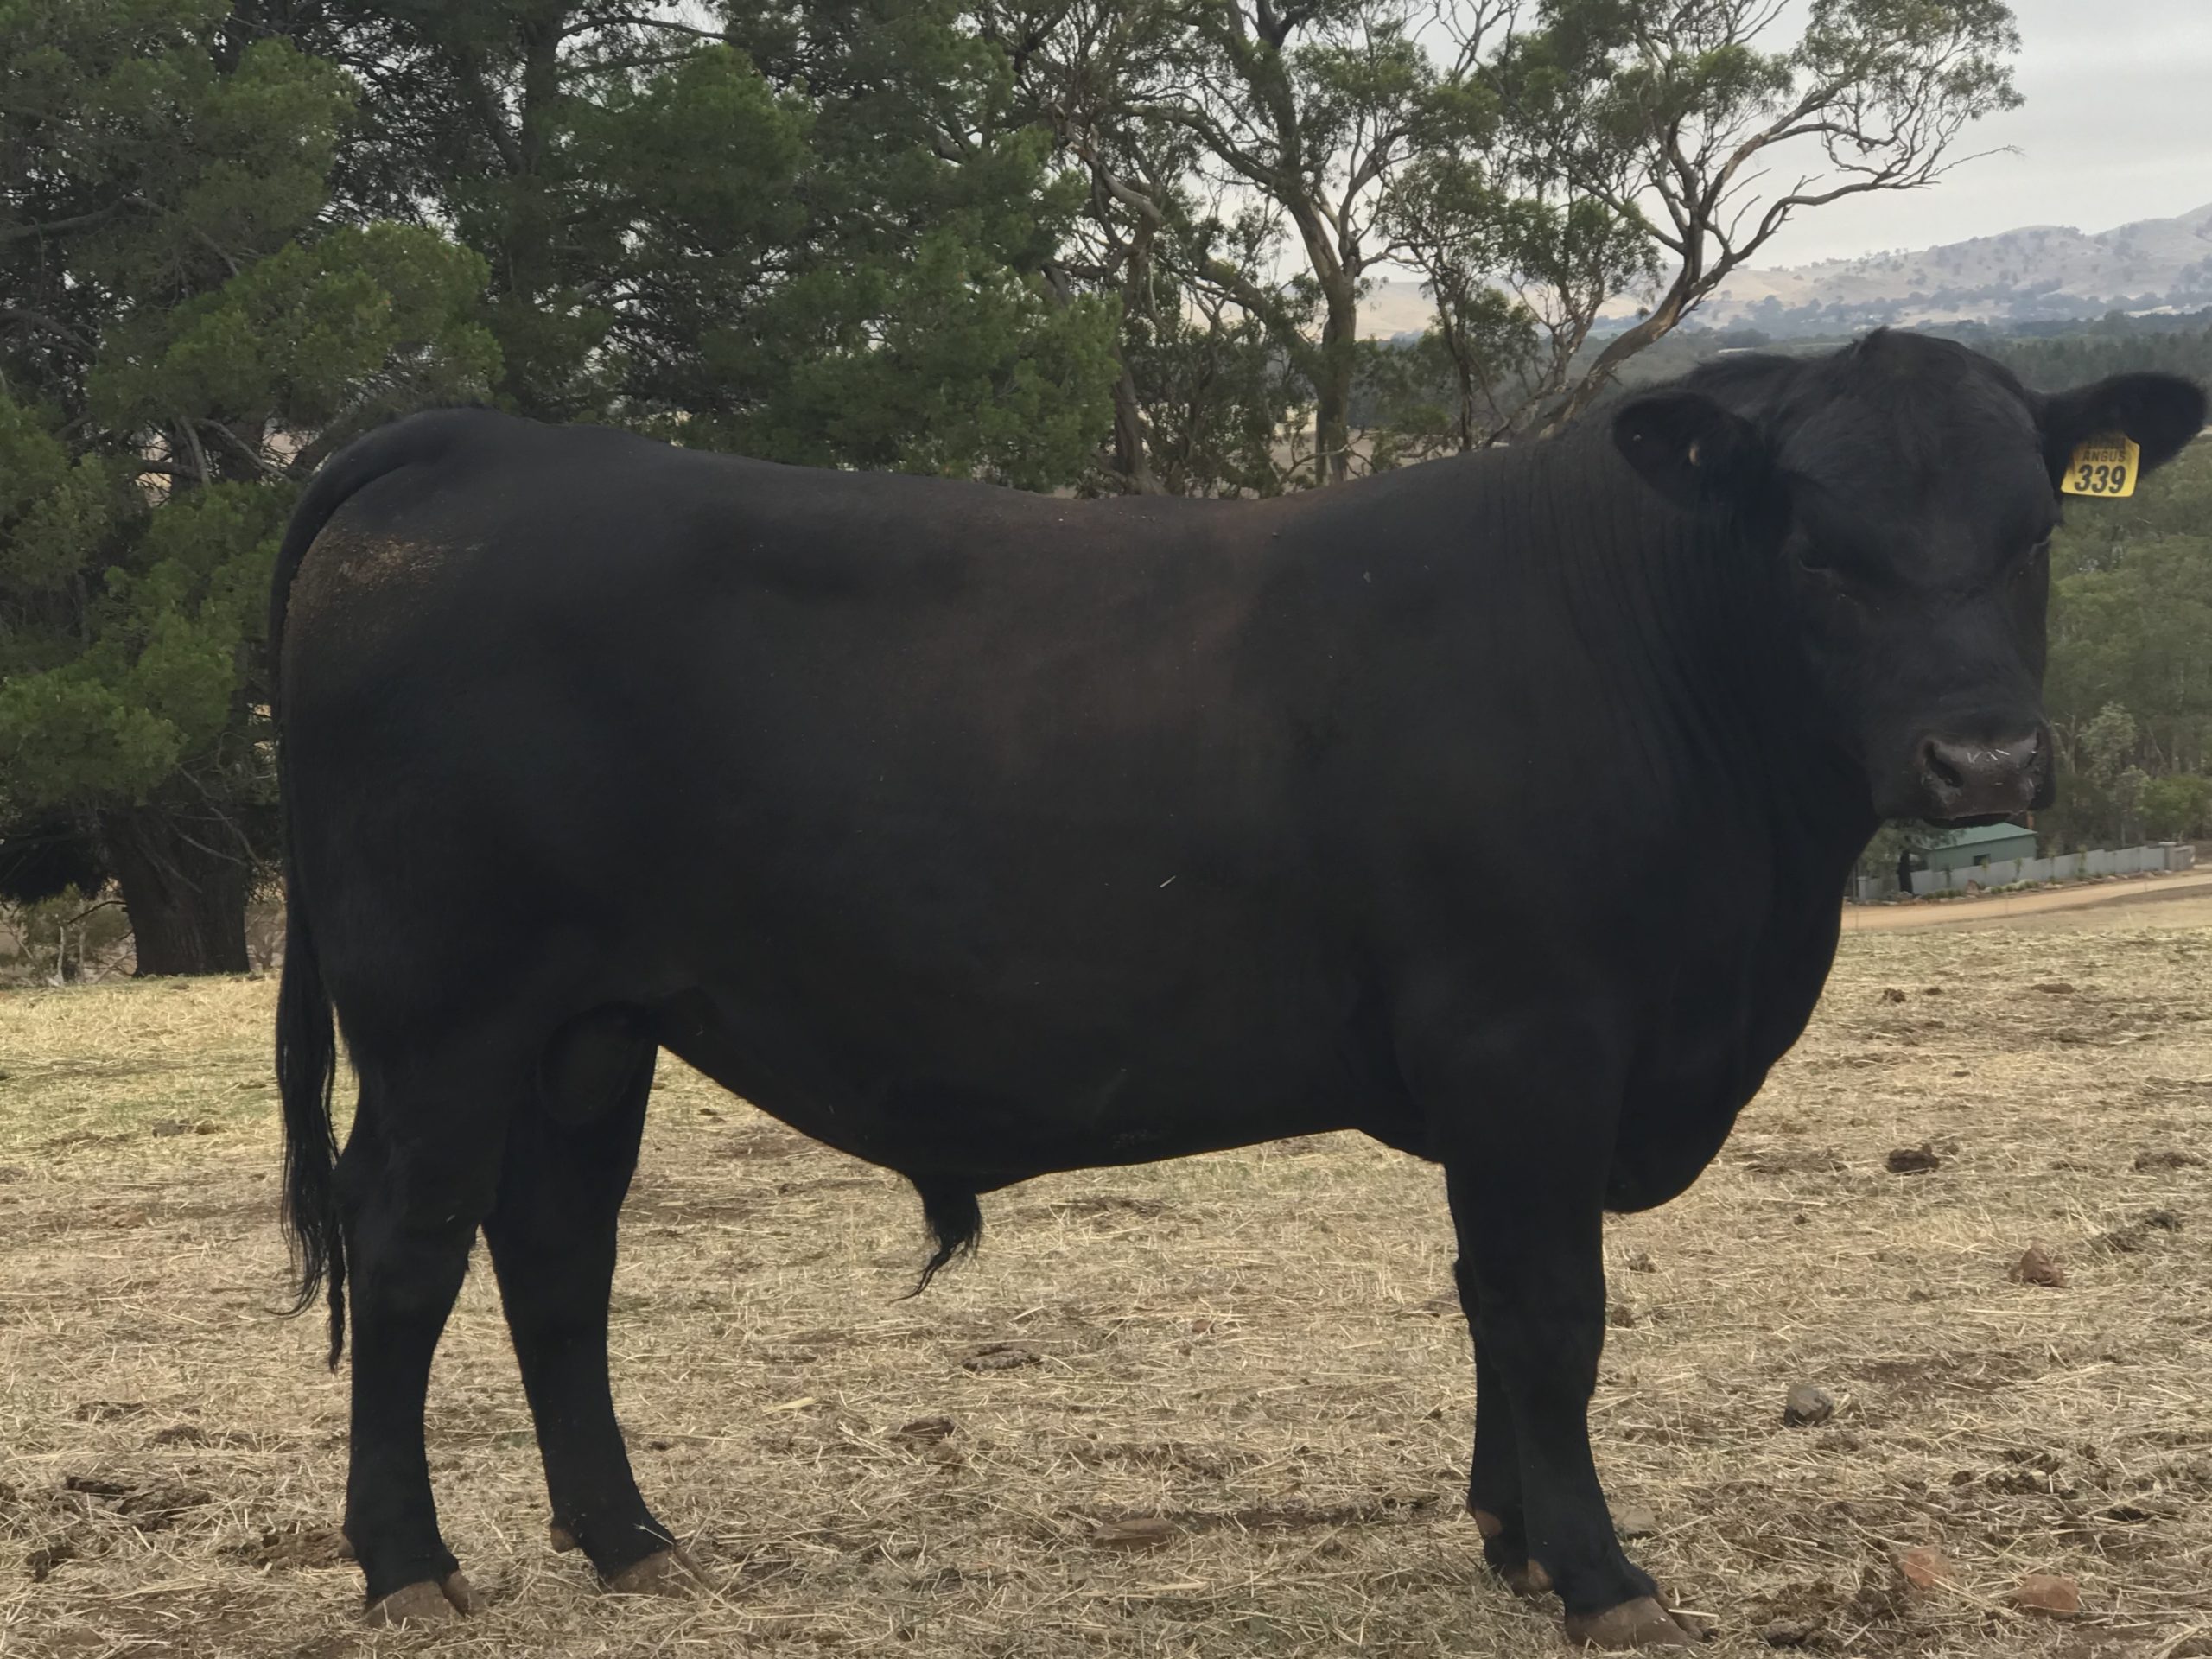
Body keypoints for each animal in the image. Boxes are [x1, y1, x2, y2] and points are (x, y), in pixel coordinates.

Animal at [269, 331, 2205, 1646]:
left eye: (2031, 526)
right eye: (1813, 536)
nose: (1982, 760)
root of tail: (479, 448)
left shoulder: (1517, 1082)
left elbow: (1489, 1301)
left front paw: (1510, 1540)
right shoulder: (1528, 1043)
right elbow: (1548, 1307)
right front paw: (1595, 1573)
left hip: (592, 1027)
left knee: (557, 1253)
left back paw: (629, 1541)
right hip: (443, 1014)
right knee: (411, 1250)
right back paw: (411, 1564)